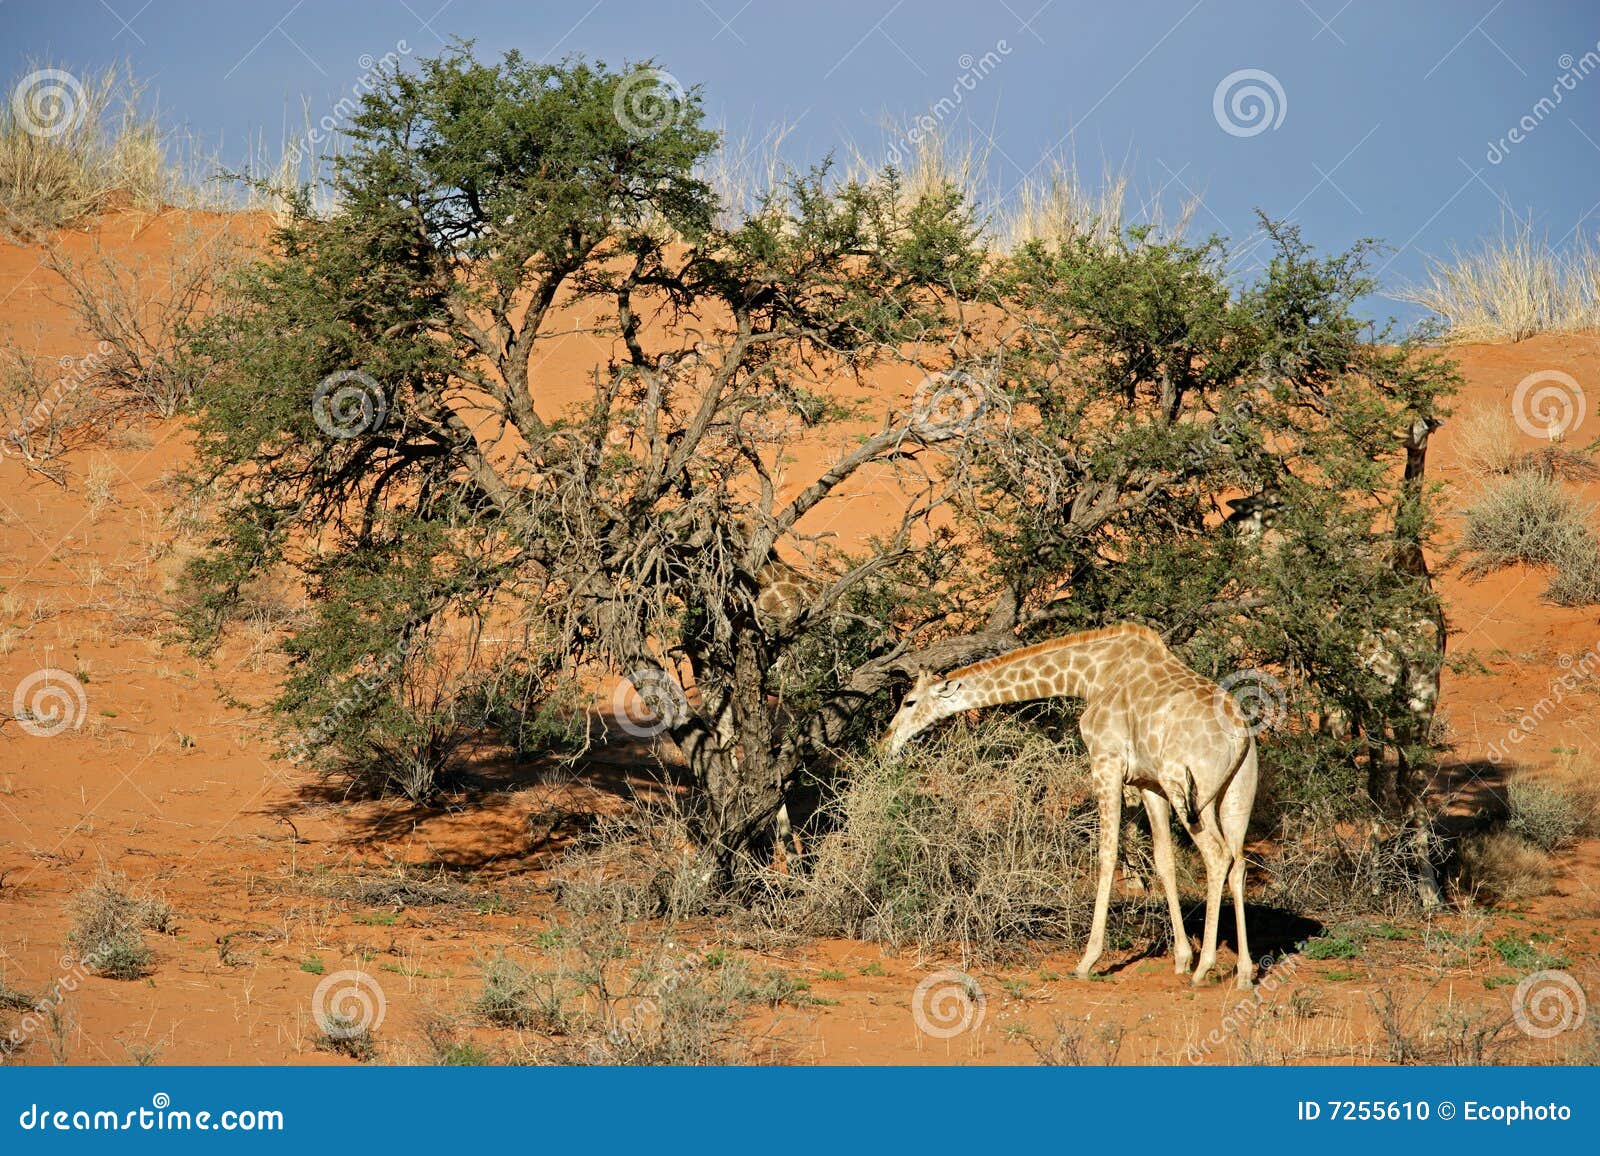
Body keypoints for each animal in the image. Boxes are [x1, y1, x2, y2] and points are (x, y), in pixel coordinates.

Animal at [882, 624, 1258, 988]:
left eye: (909, 702)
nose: (886, 743)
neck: (1091, 675)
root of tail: (1239, 733)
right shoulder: (1149, 783)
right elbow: (1164, 860)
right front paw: (1181, 958)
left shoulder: (1107, 761)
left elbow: (1107, 854)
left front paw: (1087, 961)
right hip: (1235, 794)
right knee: (1238, 862)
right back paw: (1243, 972)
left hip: (1193, 791)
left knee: (1217, 855)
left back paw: (1205, 969)